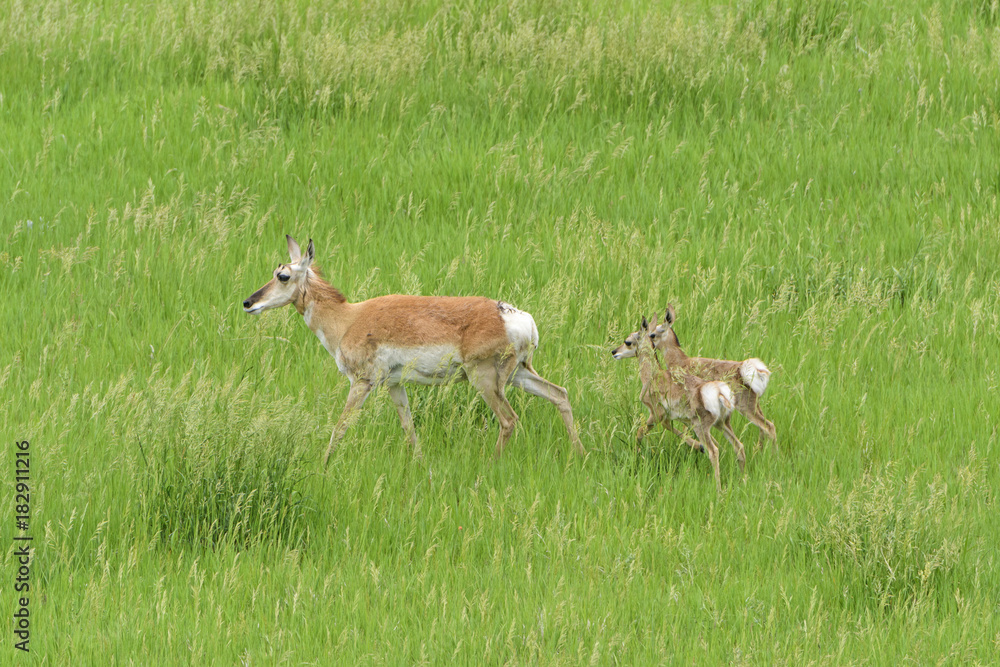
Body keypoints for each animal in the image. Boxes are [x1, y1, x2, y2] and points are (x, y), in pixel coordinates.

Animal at [242, 236, 585, 464]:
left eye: (282, 275)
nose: (248, 302)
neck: (347, 319)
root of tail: (518, 318)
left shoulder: (362, 383)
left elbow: (340, 426)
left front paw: (323, 467)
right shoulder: (395, 385)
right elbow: (410, 429)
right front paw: (420, 465)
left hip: (485, 378)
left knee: (509, 419)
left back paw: (491, 464)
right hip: (518, 375)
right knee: (559, 394)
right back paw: (580, 454)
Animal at [611, 306, 776, 450]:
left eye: (628, 342)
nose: (614, 352)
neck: (681, 360)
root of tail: (750, 368)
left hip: (745, 408)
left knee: (768, 427)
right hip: (753, 407)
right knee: (764, 427)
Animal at [634, 314, 745, 493]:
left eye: (630, 340)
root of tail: (720, 393)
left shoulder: (657, 414)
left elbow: (643, 430)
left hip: (703, 427)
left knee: (714, 450)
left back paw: (718, 488)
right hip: (722, 423)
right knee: (738, 445)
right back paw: (742, 478)